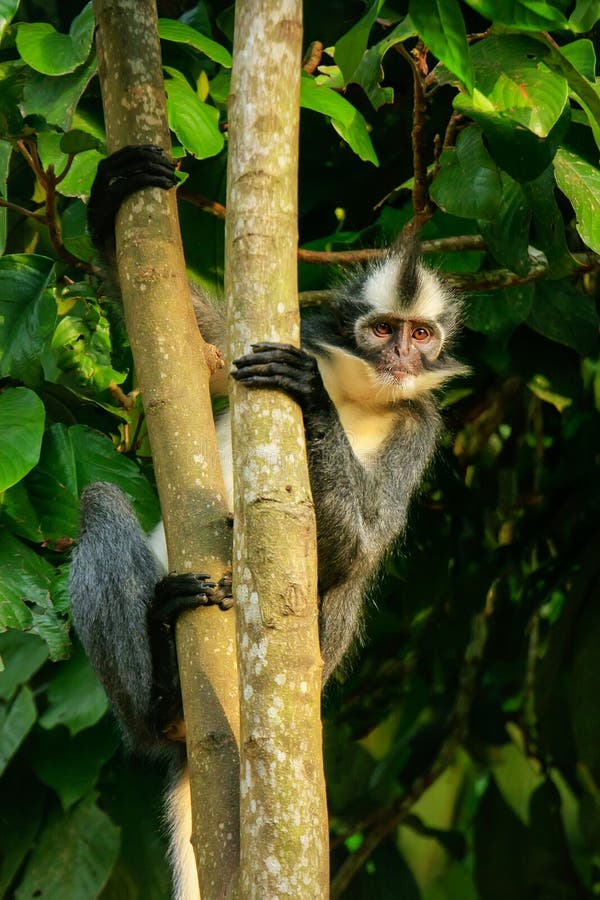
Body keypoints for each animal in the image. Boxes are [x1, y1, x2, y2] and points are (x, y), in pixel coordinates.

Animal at [68, 145, 467, 900]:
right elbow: (191, 352)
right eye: (383, 330)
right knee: (101, 500)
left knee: (354, 579)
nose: (403, 357)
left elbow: (364, 545)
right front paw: (110, 195)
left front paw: (309, 396)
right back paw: (161, 687)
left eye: (422, 335)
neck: (361, 394)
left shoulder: (421, 426)